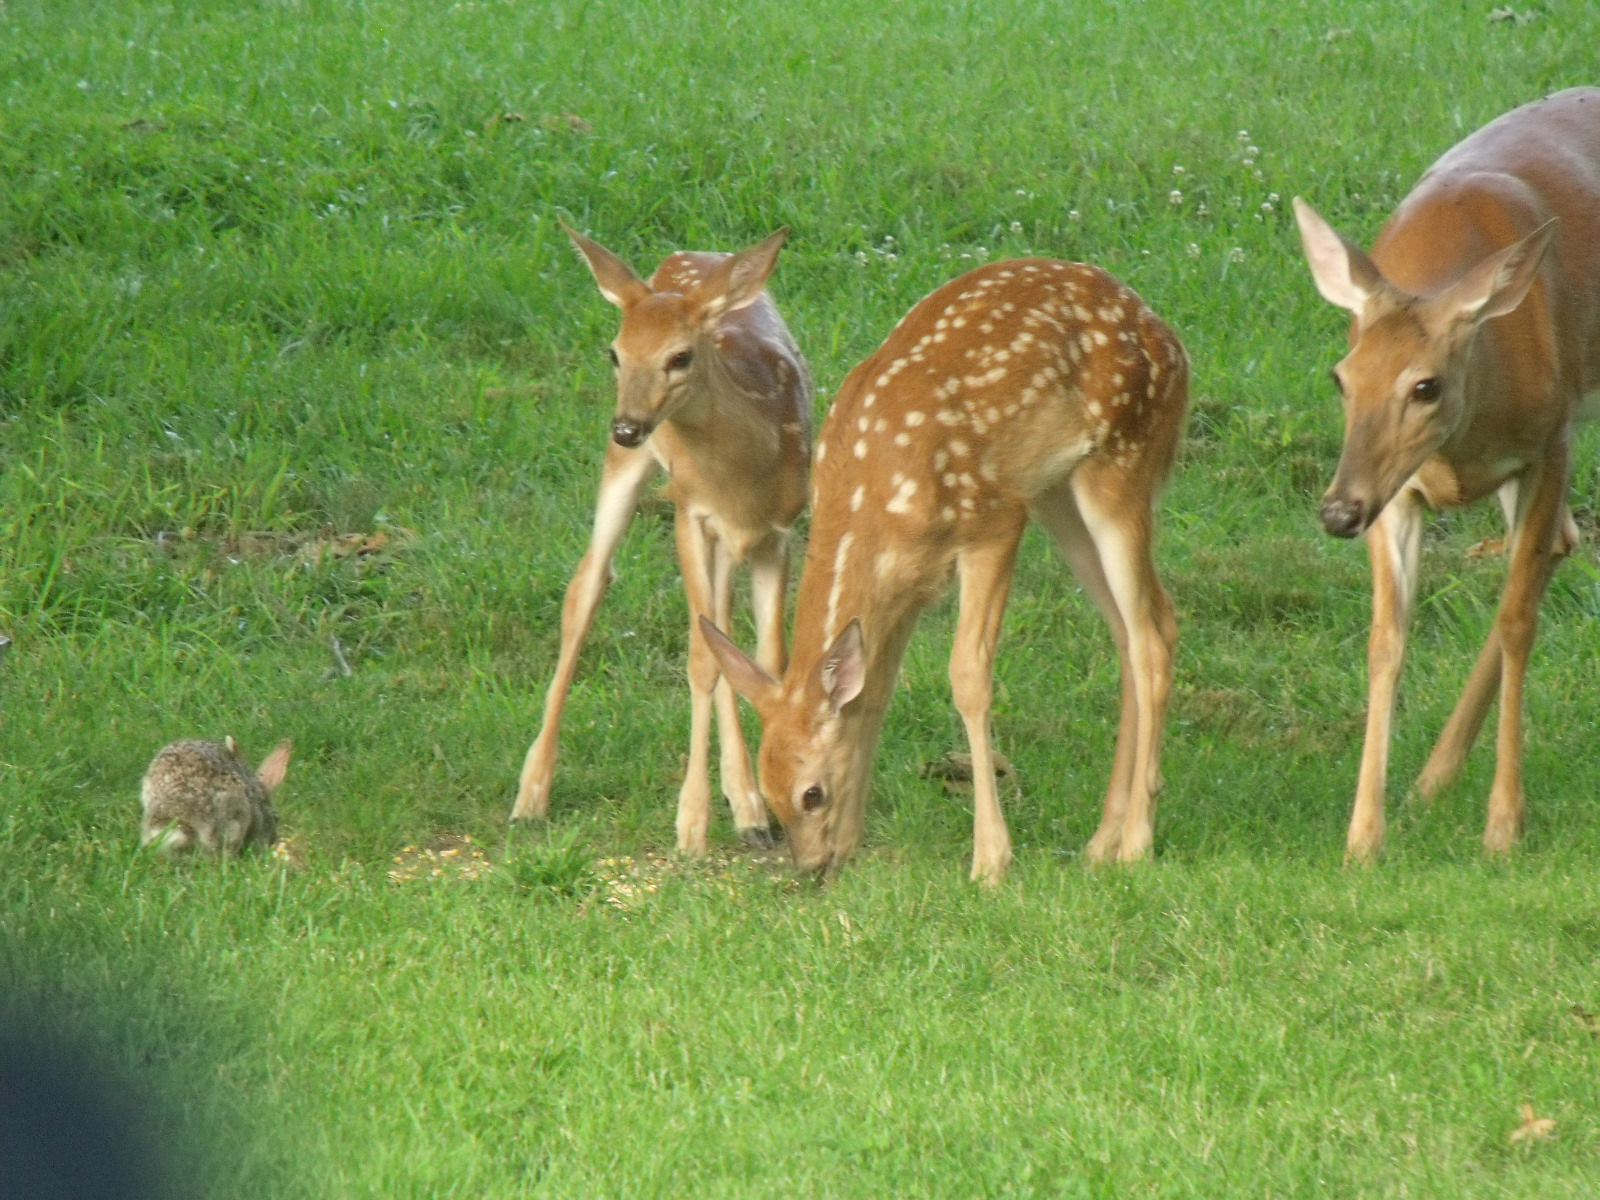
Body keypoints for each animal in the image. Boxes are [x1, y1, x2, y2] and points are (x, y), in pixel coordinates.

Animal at [509, 223, 812, 854]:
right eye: (615, 353)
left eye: (680, 356)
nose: (627, 426)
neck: (745, 477)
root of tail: (684, 256)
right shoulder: (689, 515)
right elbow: (702, 660)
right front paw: (691, 826)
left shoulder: (779, 533)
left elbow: (764, 659)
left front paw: (766, 803)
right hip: (629, 474)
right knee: (587, 585)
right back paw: (530, 796)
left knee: (720, 625)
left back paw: (746, 807)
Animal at [702, 258, 1188, 882]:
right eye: (769, 792)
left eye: (812, 794)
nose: (811, 866)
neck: (873, 498)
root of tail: (1171, 341)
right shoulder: (906, 583)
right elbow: (874, 692)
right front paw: (851, 843)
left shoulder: (994, 521)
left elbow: (969, 676)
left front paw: (990, 860)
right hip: (1058, 496)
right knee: (1129, 631)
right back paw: (1102, 840)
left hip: (1121, 460)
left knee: (1154, 631)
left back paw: (1136, 842)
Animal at [1292, 87, 1600, 861]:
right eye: (1340, 378)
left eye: (1425, 386)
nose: (1336, 512)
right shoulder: (1394, 491)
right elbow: (1386, 638)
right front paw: (1363, 836)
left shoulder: (1551, 440)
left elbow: (1518, 618)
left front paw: (1504, 825)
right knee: (1563, 542)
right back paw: (1431, 778)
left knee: (1550, 554)